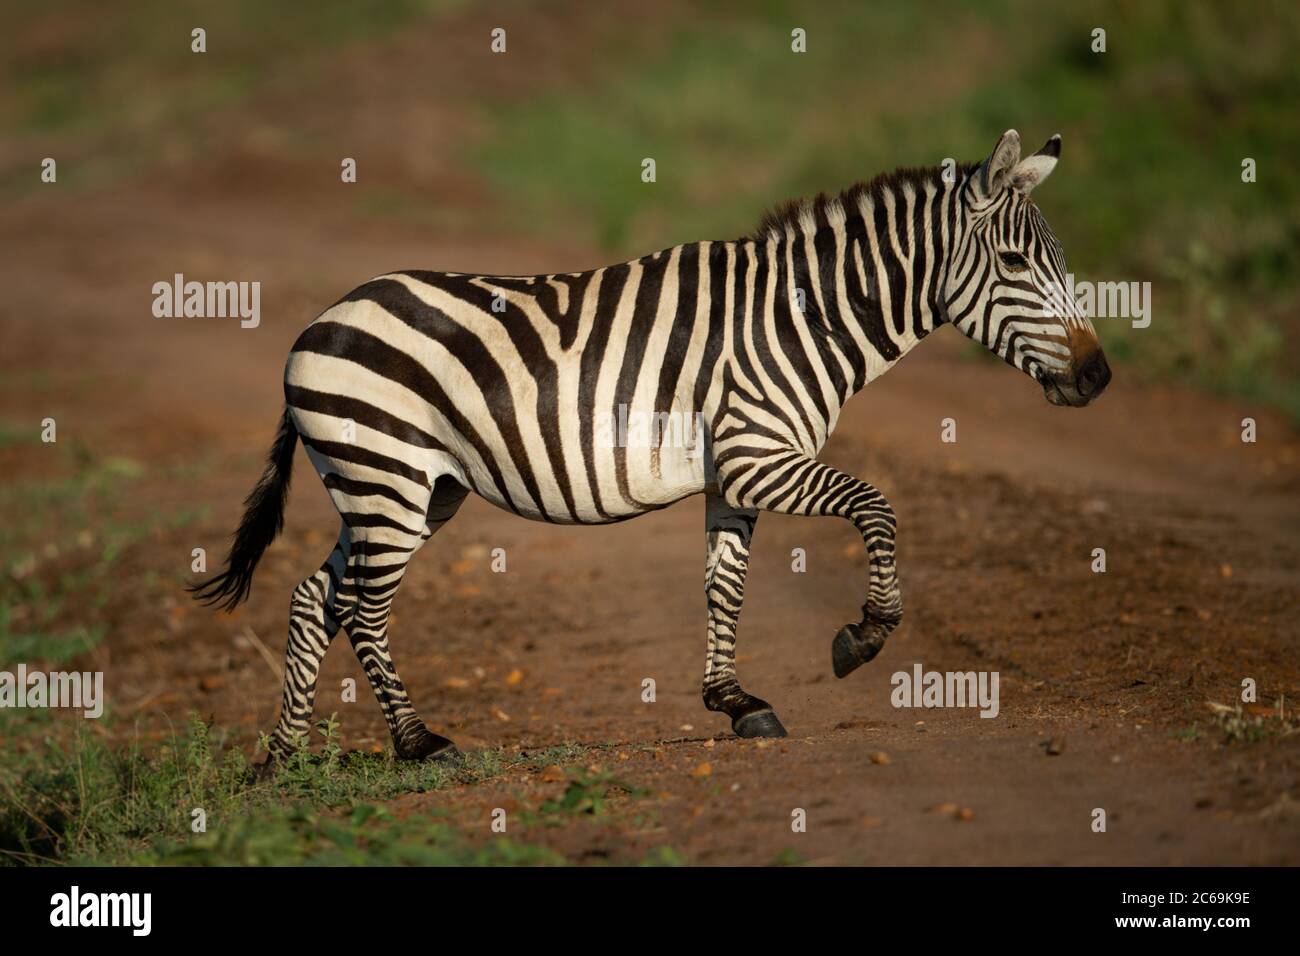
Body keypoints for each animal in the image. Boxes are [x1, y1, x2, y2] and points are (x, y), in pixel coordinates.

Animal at [192, 129, 1110, 769]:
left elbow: (725, 588)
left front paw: (734, 701)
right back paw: (420, 745)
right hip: (388, 479)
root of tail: (318, 324)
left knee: (317, 599)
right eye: (1017, 263)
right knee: (364, 608)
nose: (1100, 376)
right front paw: (866, 635)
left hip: (406, 490)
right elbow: (876, 506)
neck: (804, 318)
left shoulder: (734, 476)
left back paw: (284, 757)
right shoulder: (757, 455)